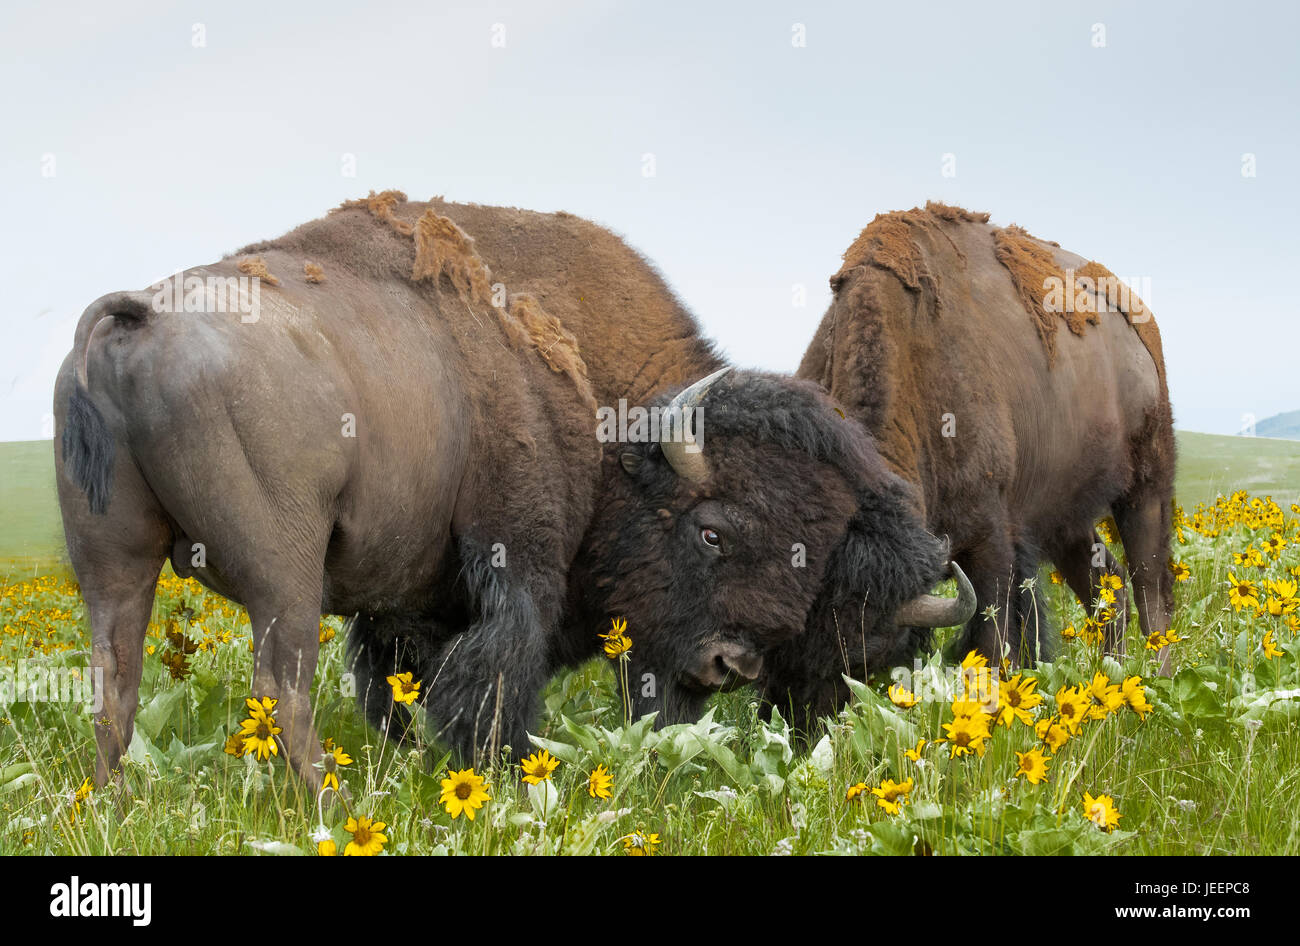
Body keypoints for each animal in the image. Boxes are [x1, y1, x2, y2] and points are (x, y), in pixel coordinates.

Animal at [56, 191, 973, 793]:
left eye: (812, 564)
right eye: (712, 532)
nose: (731, 663)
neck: (613, 421)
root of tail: (138, 319)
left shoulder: (406, 604)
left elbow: (399, 683)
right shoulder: (512, 563)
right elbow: (494, 673)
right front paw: (492, 771)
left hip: (115, 562)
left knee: (114, 680)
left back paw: (116, 802)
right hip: (283, 570)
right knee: (280, 686)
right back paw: (328, 802)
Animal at [756, 202, 1175, 728]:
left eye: (866, 656)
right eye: (771, 642)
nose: (794, 726)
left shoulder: (990, 541)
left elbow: (994, 642)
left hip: (1148, 487)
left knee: (1152, 593)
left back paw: (1159, 688)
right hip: (1067, 522)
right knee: (1109, 595)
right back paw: (1111, 688)